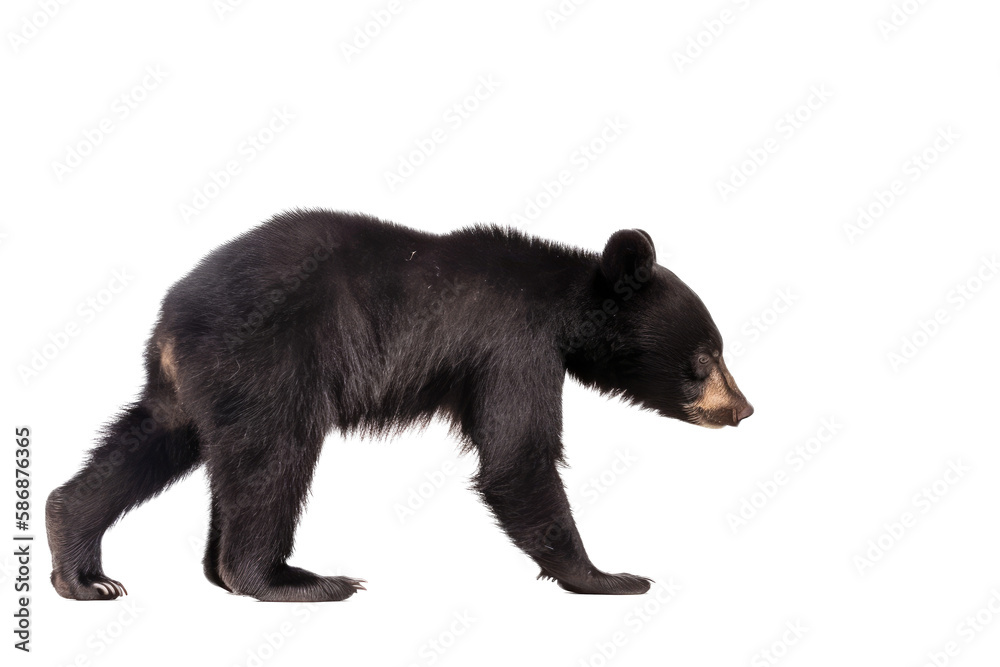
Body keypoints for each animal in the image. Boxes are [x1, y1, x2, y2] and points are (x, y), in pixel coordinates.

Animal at [46, 209, 753, 602]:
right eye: (705, 357)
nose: (742, 409)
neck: (563, 305)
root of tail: (171, 318)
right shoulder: (511, 344)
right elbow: (517, 458)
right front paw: (609, 575)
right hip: (271, 359)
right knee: (276, 456)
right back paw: (287, 579)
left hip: (192, 387)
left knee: (152, 443)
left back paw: (83, 567)